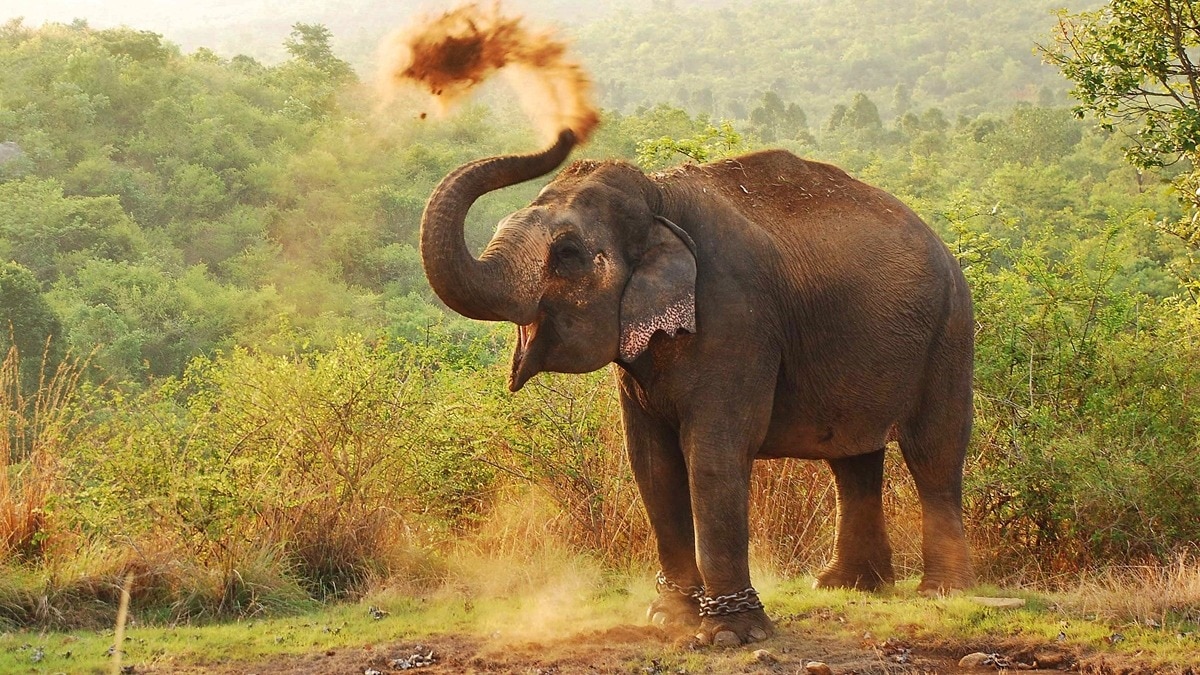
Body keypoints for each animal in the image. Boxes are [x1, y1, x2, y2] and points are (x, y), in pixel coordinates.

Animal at [419, 129, 974, 647]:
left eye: (568, 254)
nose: (567, 131)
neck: (659, 200)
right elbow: (651, 461)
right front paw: (670, 617)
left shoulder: (736, 317)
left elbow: (714, 454)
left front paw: (729, 635)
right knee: (853, 459)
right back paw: (846, 586)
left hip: (950, 330)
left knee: (934, 452)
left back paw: (941, 591)